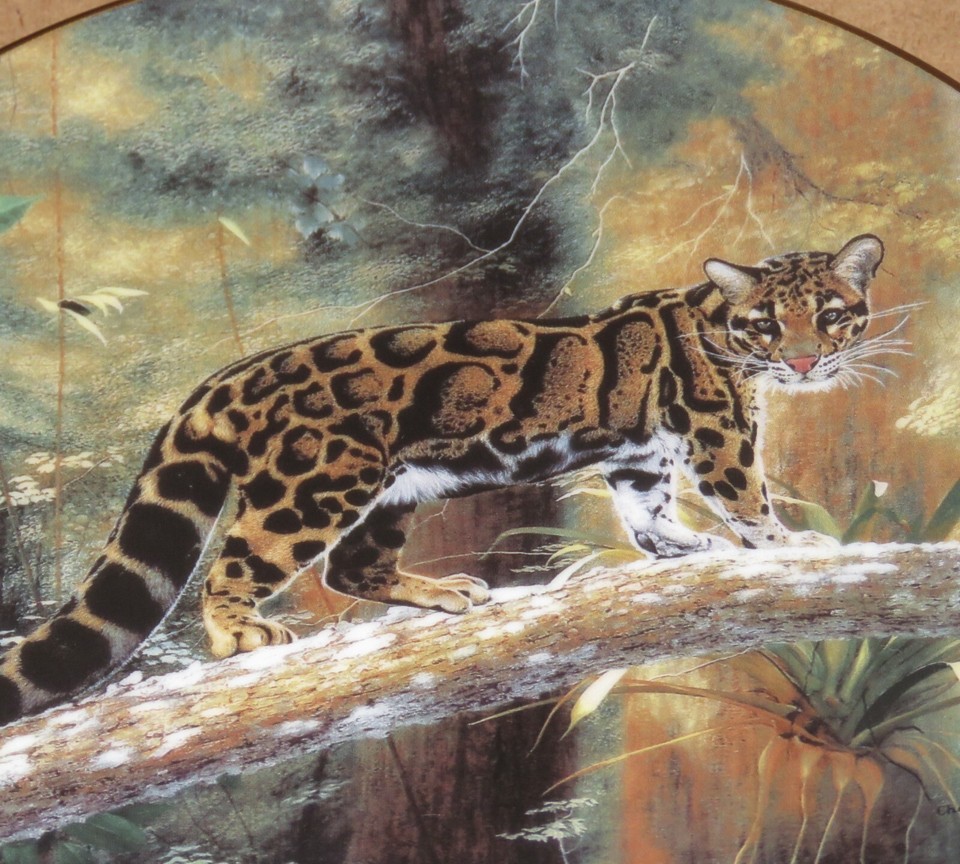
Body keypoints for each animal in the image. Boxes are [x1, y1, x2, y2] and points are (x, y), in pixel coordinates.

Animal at [0, 234, 890, 725]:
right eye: (767, 324)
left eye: (832, 314)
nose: (804, 362)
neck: (716, 325)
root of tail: (224, 380)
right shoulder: (717, 430)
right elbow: (747, 498)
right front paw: (790, 545)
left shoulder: (641, 452)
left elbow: (645, 509)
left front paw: (681, 547)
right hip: (315, 485)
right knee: (236, 565)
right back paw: (241, 633)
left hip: (391, 492)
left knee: (352, 567)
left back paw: (443, 593)